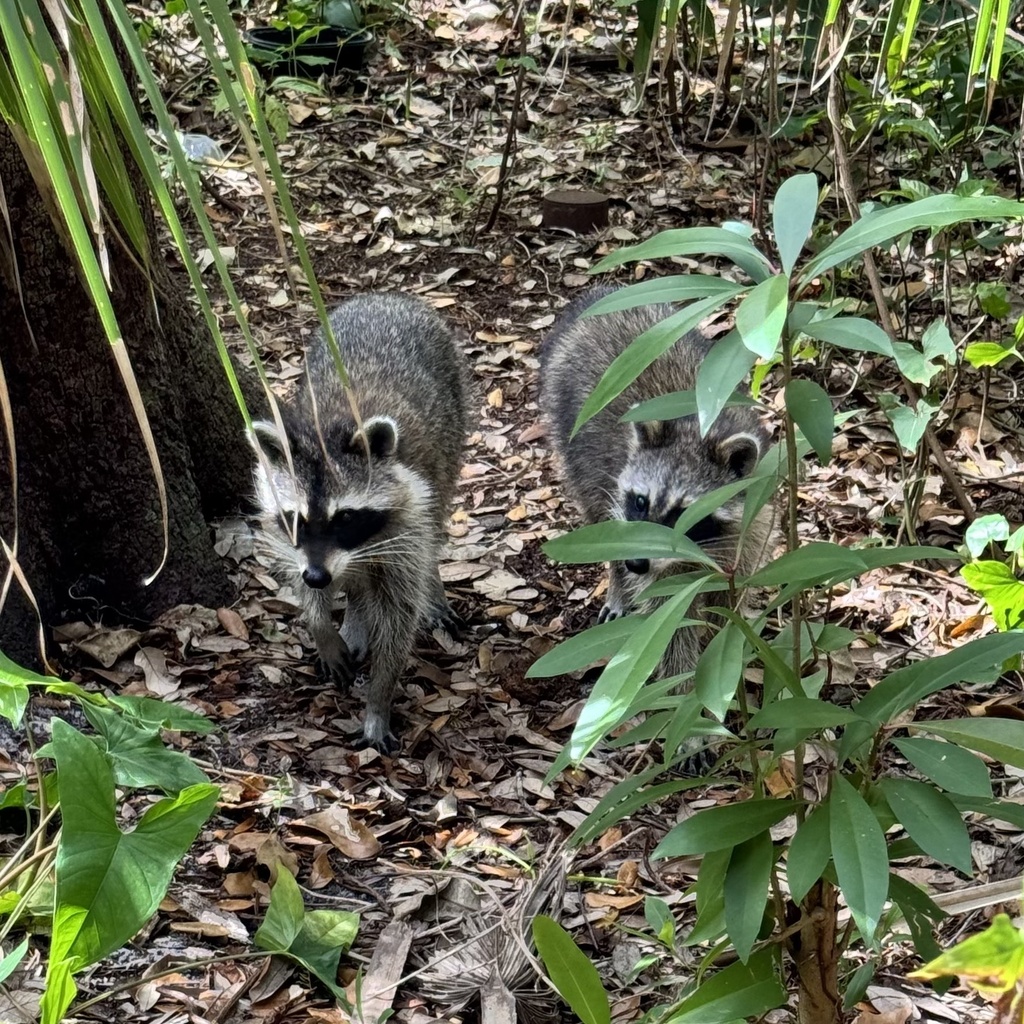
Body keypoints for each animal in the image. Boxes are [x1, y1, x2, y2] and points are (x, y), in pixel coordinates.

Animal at [248, 293, 469, 751]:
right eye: (295, 518)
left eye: (346, 517)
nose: (318, 577)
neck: (329, 429)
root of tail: (386, 297)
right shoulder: (295, 544)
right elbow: (302, 577)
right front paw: (321, 623)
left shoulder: (406, 529)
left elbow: (399, 617)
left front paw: (379, 698)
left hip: (454, 418)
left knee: (437, 518)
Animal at [540, 284, 776, 678]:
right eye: (640, 501)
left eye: (685, 514)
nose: (635, 563)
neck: (697, 431)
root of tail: (598, 296)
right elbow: (669, 622)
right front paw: (682, 687)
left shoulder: (750, 526)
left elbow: (730, 597)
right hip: (570, 431)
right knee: (597, 512)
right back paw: (618, 585)